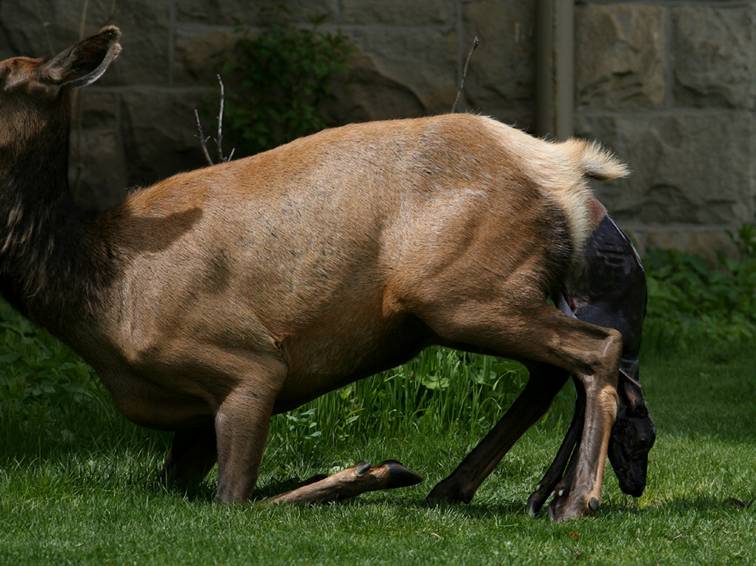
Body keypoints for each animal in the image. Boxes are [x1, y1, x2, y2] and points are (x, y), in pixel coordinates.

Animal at [0, 27, 655, 521]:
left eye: (3, 77)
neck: (101, 296)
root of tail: (564, 168)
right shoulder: (189, 417)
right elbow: (181, 485)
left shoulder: (246, 361)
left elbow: (236, 502)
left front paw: (377, 469)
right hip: (480, 297)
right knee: (552, 370)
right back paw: (476, 489)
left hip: (462, 292)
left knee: (597, 349)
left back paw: (574, 501)